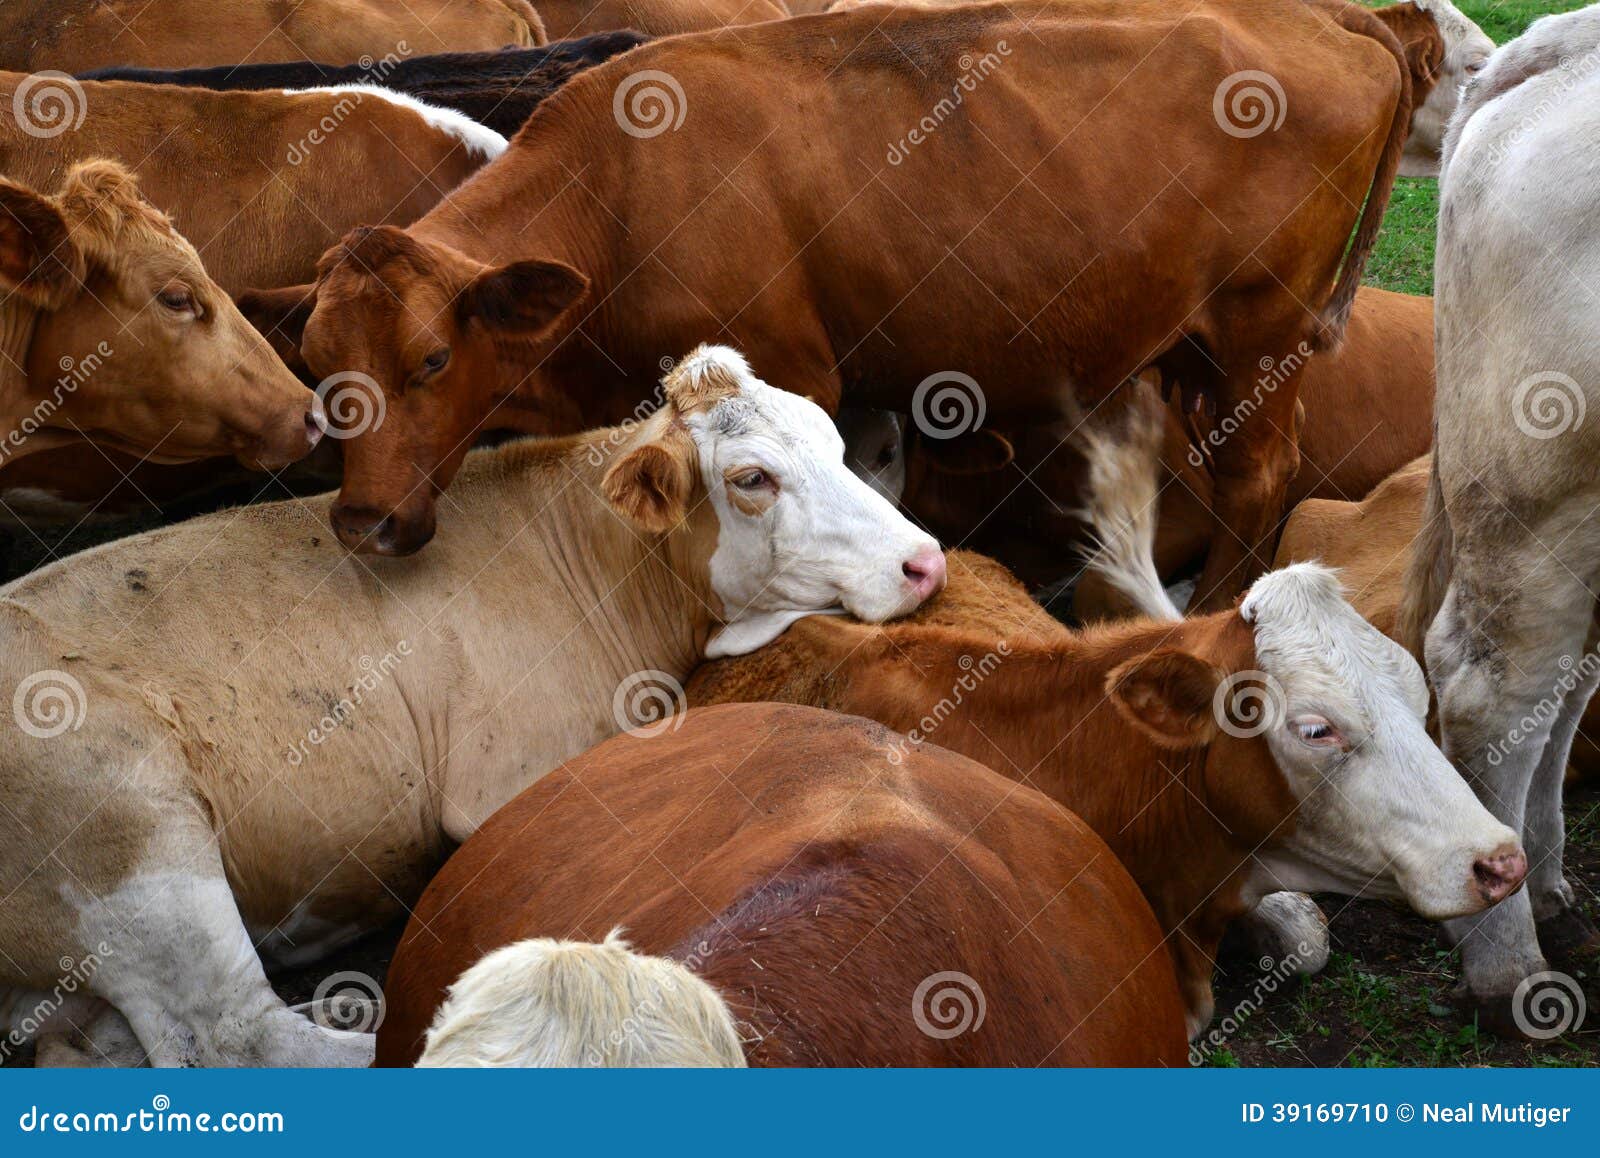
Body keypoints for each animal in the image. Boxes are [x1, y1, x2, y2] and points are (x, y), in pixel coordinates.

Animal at [0, 346, 945, 1067]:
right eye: (752, 478)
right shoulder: (510, 778)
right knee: (241, 1037)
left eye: (838, 444)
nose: (924, 561)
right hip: (131, 829)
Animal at [240, 0, 1414, 602]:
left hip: (1260, 334)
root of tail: (1330, 19)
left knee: (1257, 477)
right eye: (319, 369)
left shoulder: (792, 373)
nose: (364, 523)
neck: (617, 194)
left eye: (434, 361)